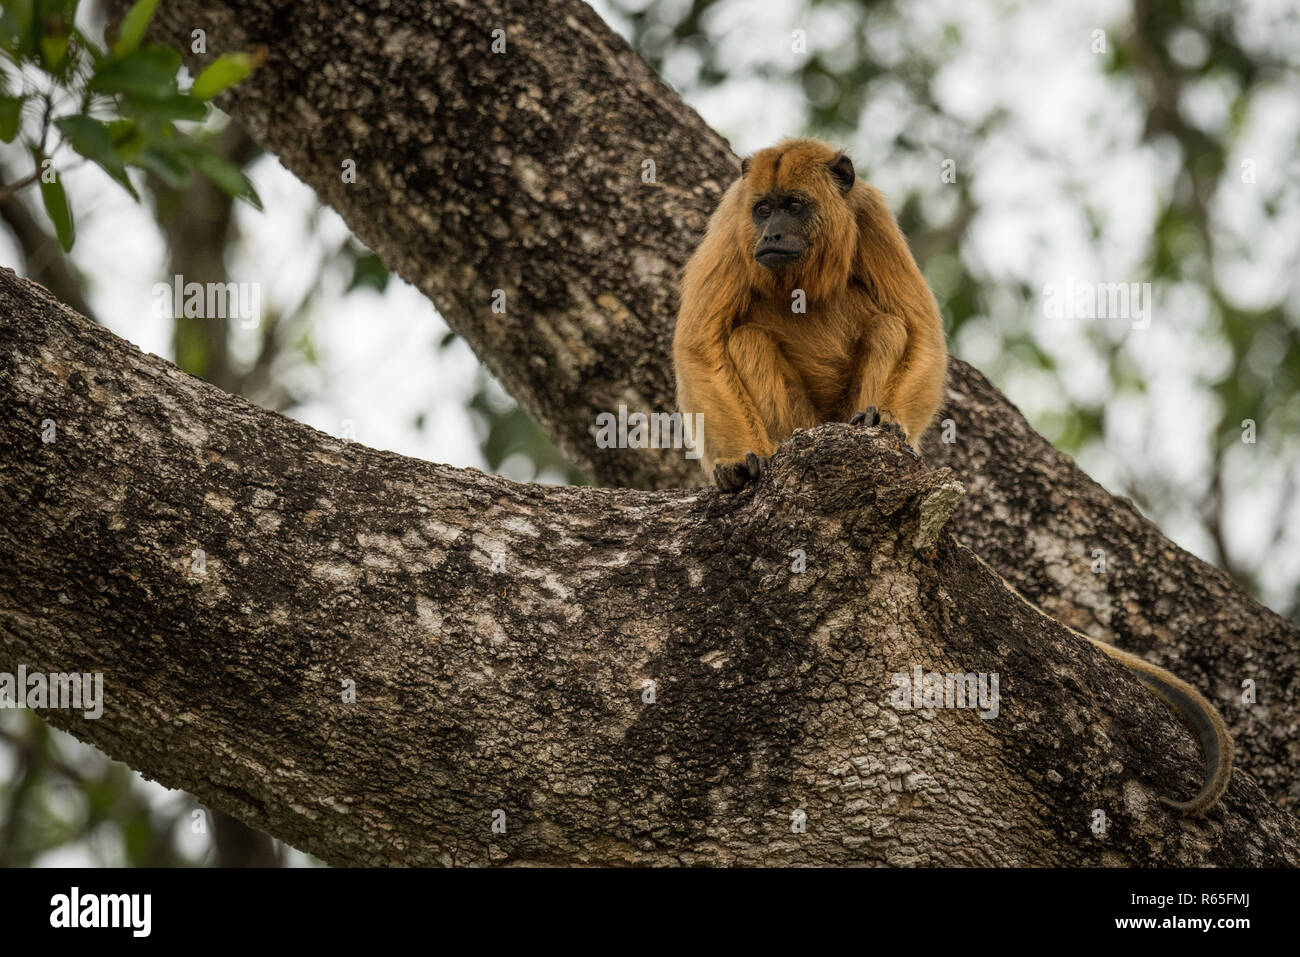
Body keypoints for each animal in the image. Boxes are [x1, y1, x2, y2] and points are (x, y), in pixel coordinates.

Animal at [672, 137, 1233, 815]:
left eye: (795, 206)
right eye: (762, 209)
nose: (774, 232)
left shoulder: (871, 216)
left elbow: (919, 333)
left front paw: (887, 425)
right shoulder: (731, 225)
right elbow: (702, 343)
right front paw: (737, 470)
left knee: (887, 323)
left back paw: (873, 426)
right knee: (747, 335)